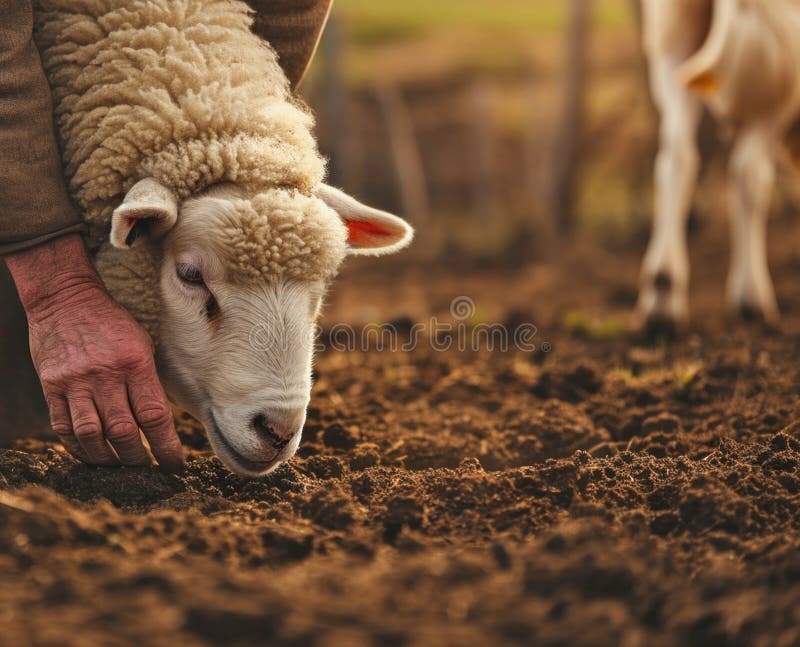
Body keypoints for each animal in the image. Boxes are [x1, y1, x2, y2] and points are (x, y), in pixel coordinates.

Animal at [637, 0, 800, 332]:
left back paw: (663, 294)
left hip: (675, 38)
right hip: (780, 54)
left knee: (676, 155)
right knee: (750, 173)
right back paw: (752, 297)